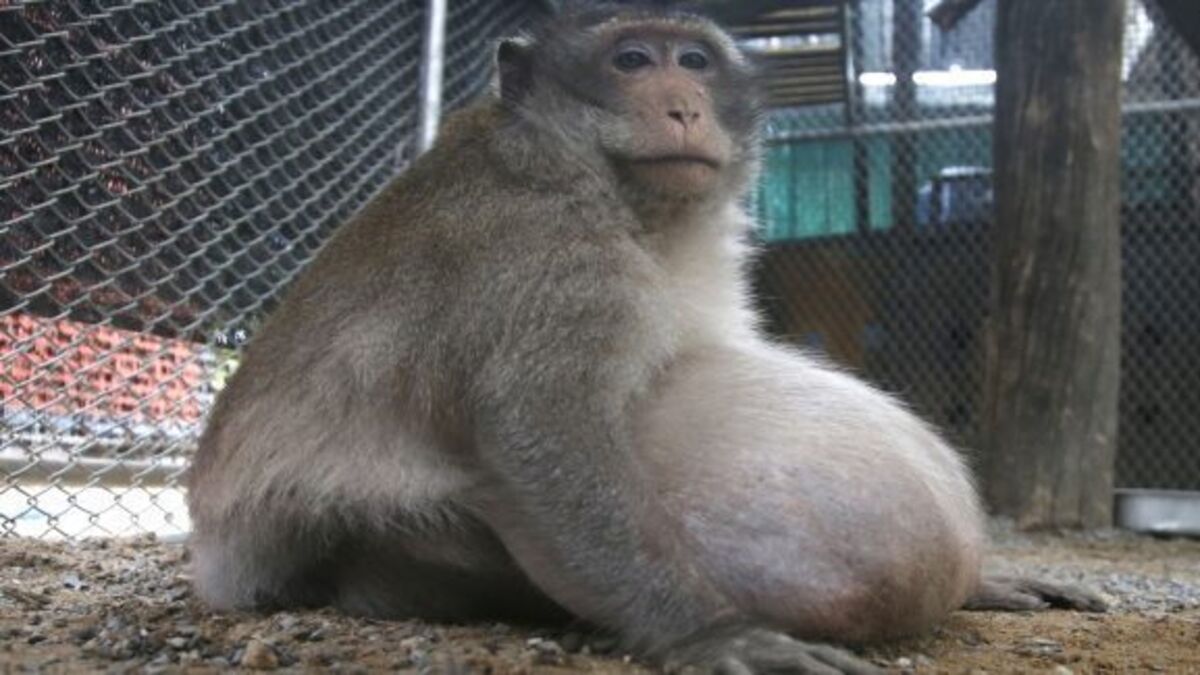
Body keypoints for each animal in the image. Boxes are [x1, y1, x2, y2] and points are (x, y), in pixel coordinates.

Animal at [186, 4, 1103, 673]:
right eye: (631, 61)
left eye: (692, 62)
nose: (682, 104)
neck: (619, 195)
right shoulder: (541, 251)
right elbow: (536, 428)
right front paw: (706, 632)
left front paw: (990, 575)